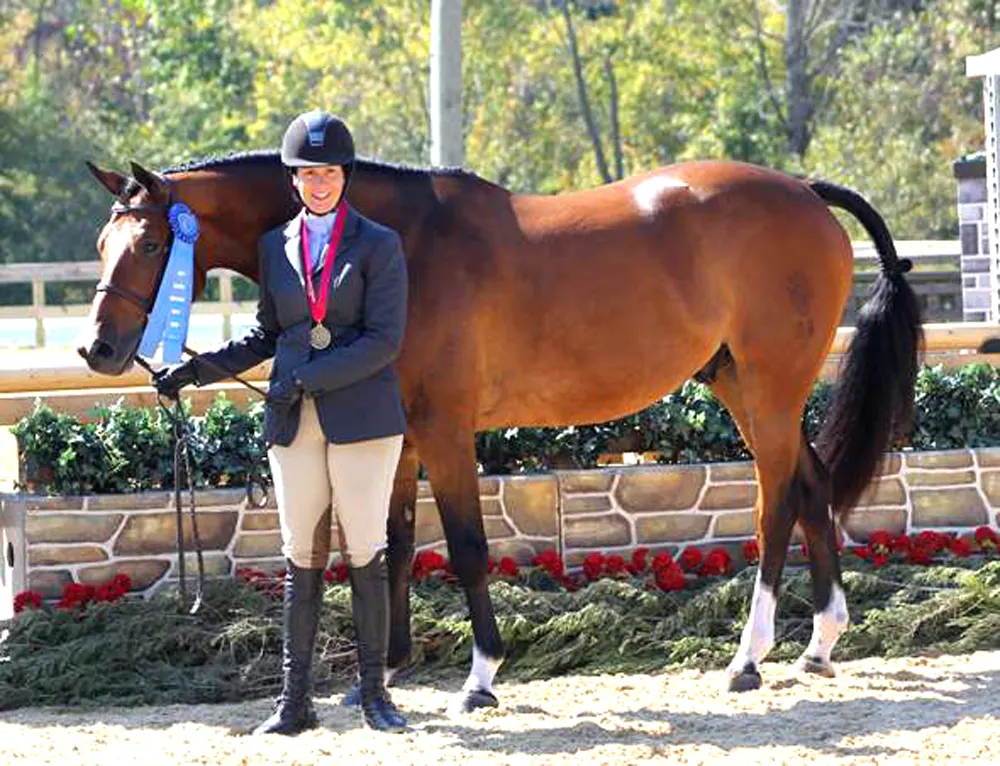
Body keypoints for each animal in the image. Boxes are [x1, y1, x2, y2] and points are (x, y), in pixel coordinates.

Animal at [80, 152, 921, 710]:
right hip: (741, 384)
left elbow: (464, 546)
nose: (100, 351)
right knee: (811, 484)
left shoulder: (447, 430)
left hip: (771, 387)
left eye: (151, 244)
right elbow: (391, 542)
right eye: (100, 244)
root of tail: (803, 191)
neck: (403, 241)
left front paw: (480, 677)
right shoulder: (400, 433)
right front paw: (385, 673)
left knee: (776, 501)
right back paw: (820, 643)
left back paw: (749, 656)